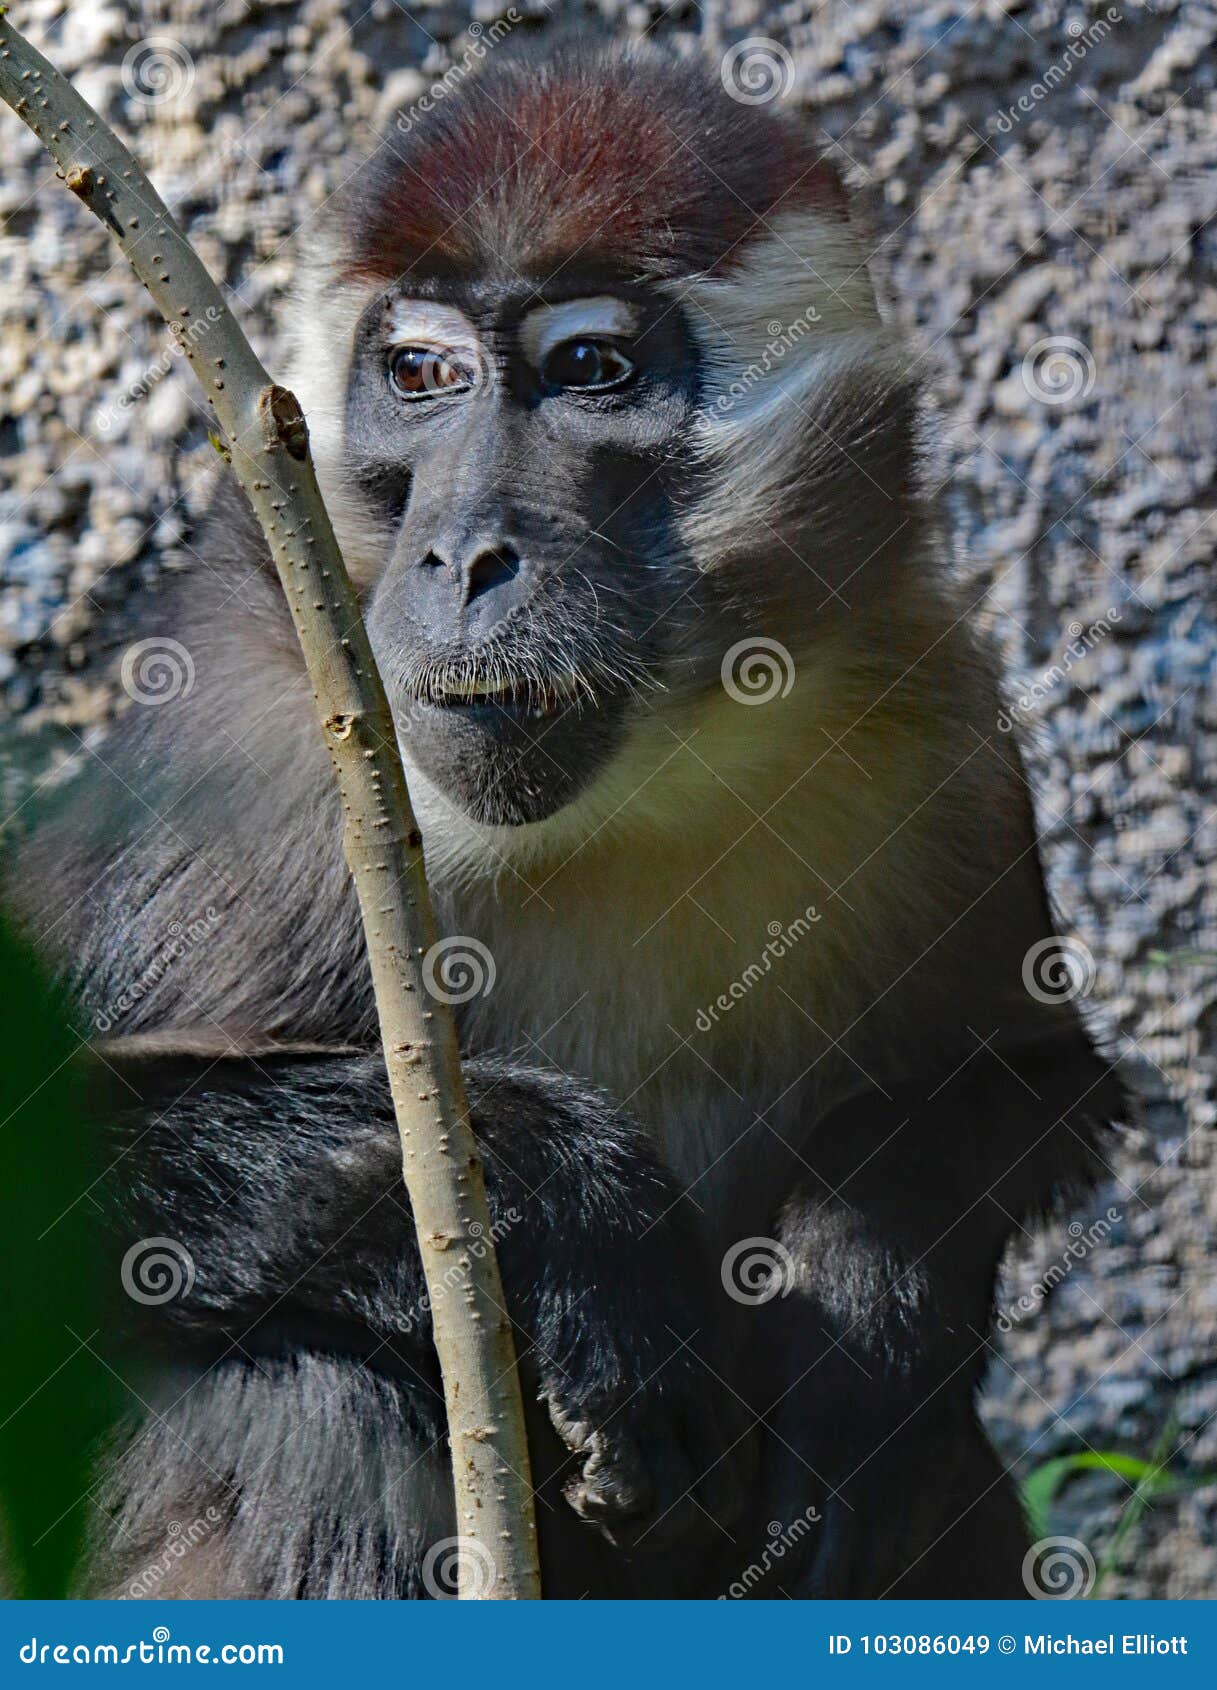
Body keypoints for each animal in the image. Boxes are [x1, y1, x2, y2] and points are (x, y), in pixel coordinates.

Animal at [6, 42, 1126, 1599]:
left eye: (589, 370)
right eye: (422, 374)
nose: (464, 555)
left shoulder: (932, 710)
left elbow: (1023, 1081)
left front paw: (857, 1307)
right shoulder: (236, 739)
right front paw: (571, 1202)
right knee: (303, 1398)